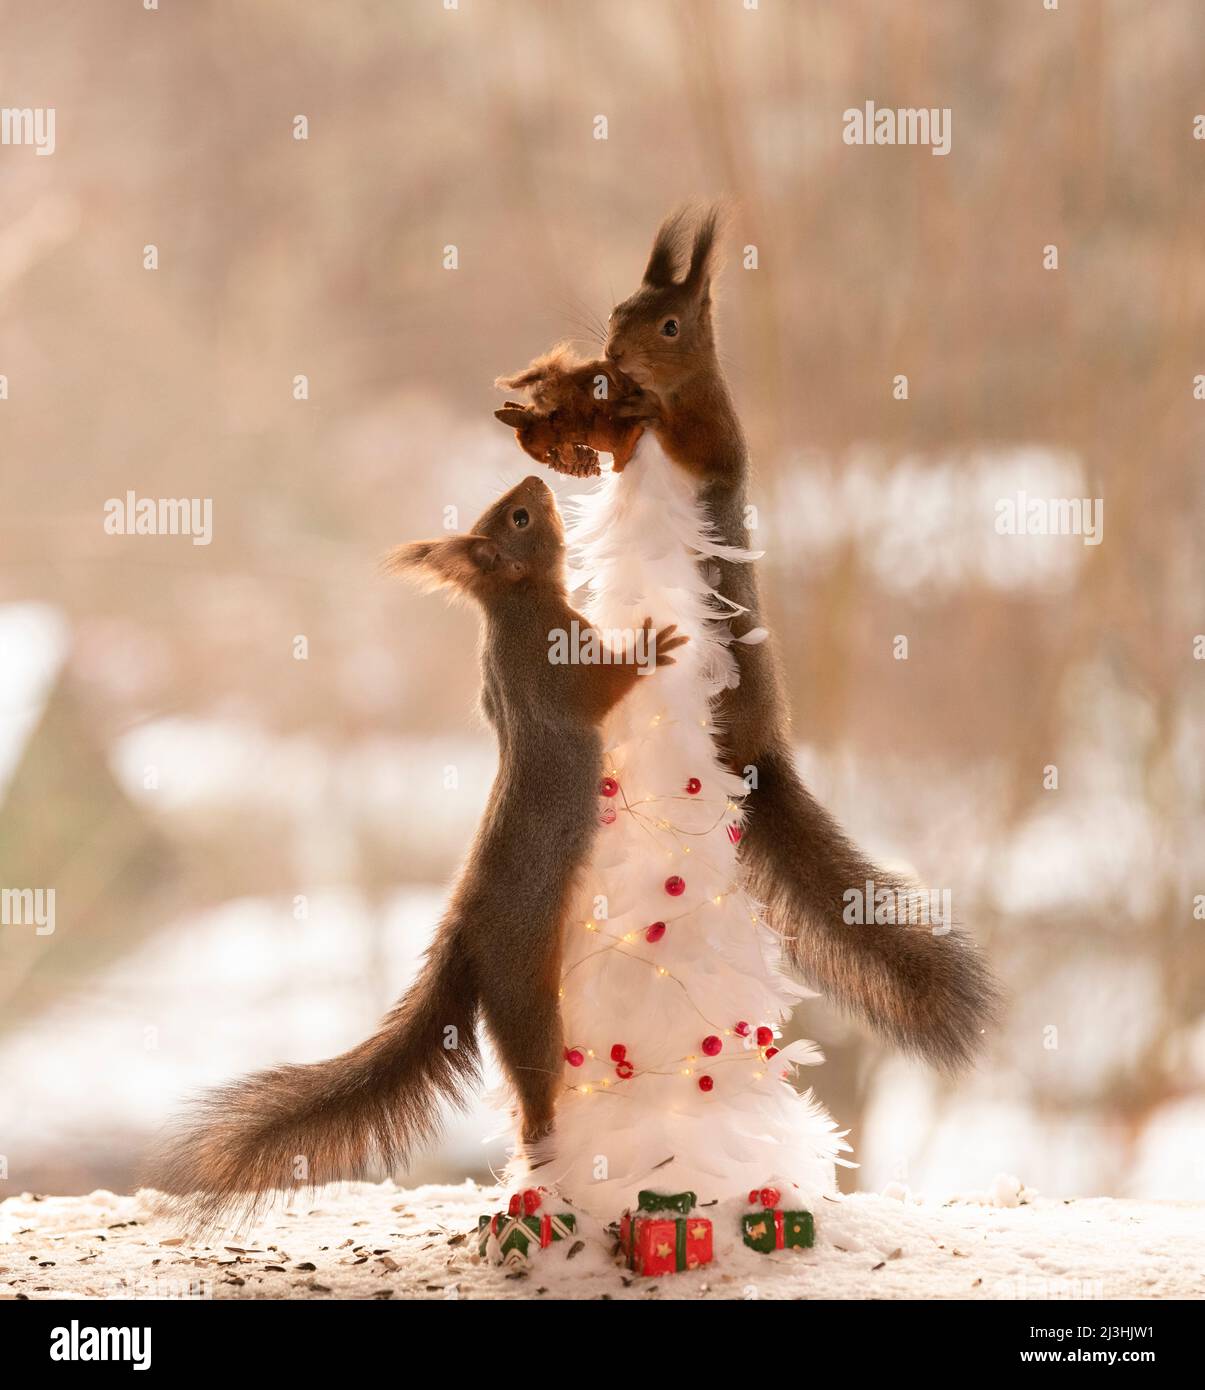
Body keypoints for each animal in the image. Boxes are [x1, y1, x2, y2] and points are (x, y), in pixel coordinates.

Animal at [146, 475, 685, 1230]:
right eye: (521, 518)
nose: (537, 481)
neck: (514, 604)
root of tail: (464, 937)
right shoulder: (555, 666)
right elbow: (601, 688)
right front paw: (654, 644)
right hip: (525, 996)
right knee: (534, 1087)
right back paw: (552, 1149)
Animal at [497, 207, 1001, 1070]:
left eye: (669, 324)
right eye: (617, 310)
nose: (613, 359)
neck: (674, 386)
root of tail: (764, 748)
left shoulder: (716, 440)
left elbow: (686, 442)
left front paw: (640, 414)